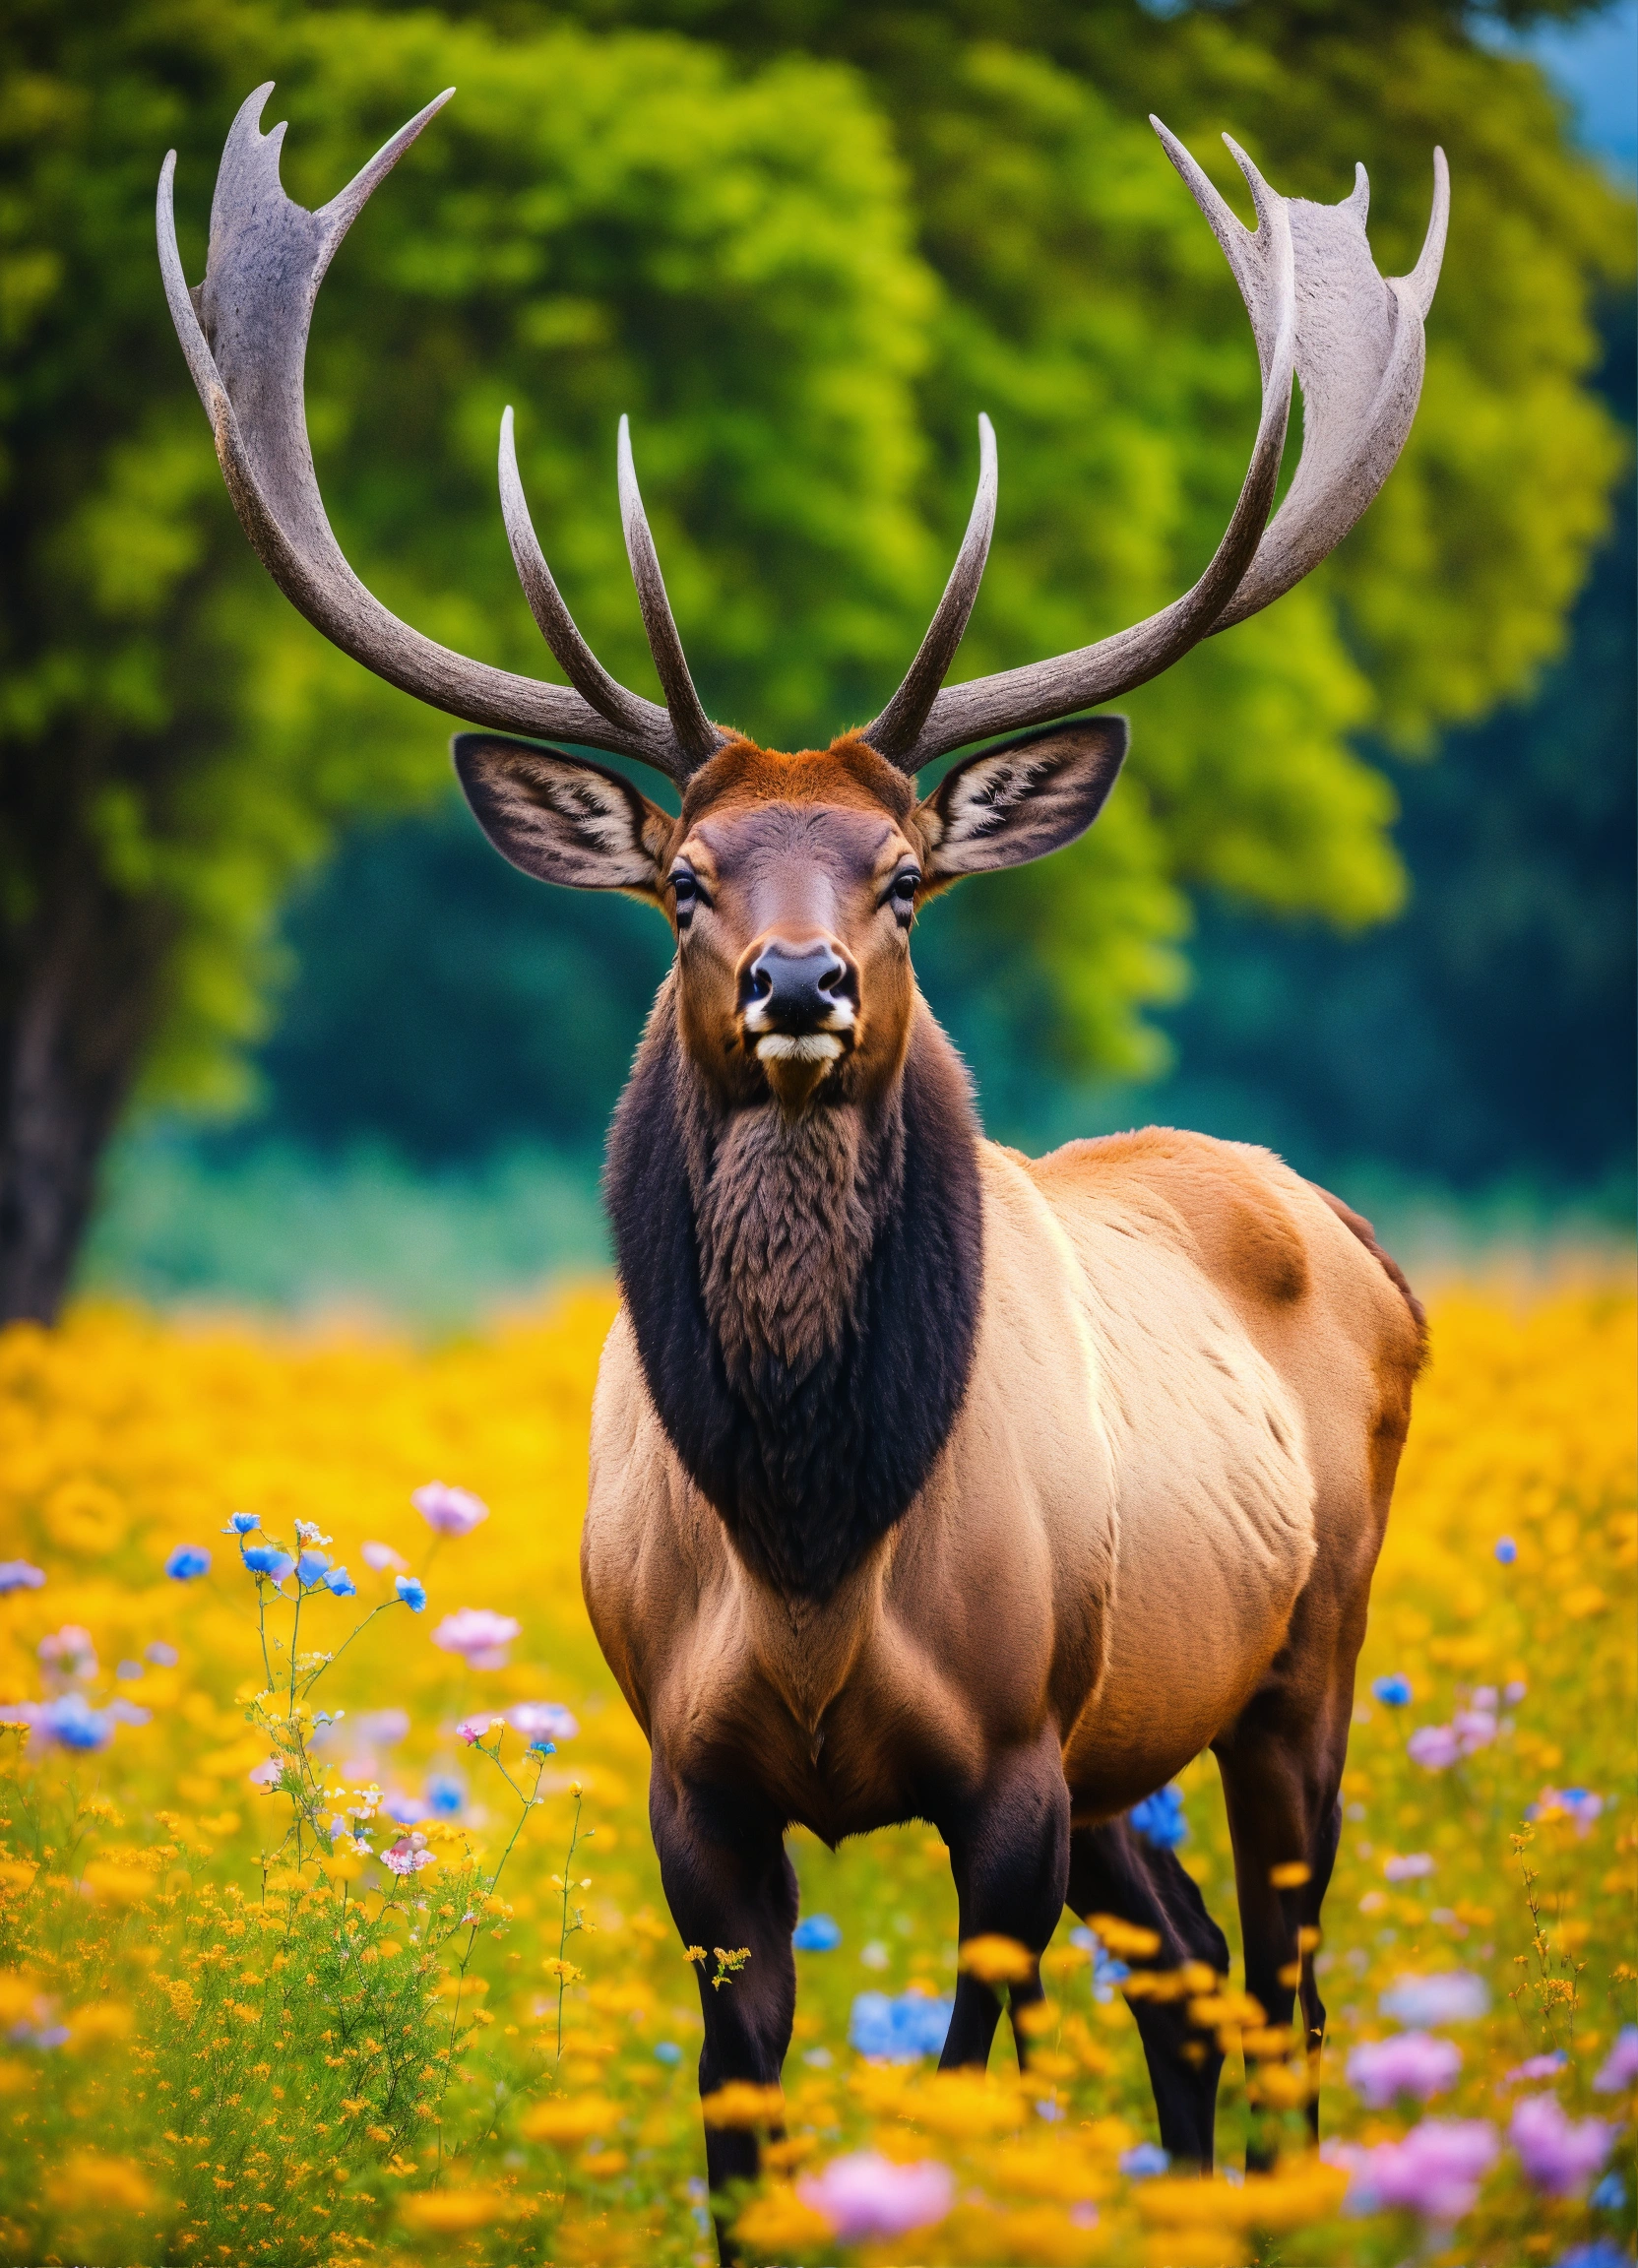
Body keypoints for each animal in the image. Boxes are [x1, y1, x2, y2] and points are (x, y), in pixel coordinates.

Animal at [160, 84, 1444, 2241]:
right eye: (682, 875)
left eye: (904, 870)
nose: (794, 981)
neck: (813, 1538)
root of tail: (1357, 1228)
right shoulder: (692, 1776)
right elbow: (740, 2141)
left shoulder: (1008, 1754)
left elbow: (959, 2093)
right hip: (1133, 1739)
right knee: (1189, 1966)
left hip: (1292, 1653)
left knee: (1279, 1981)